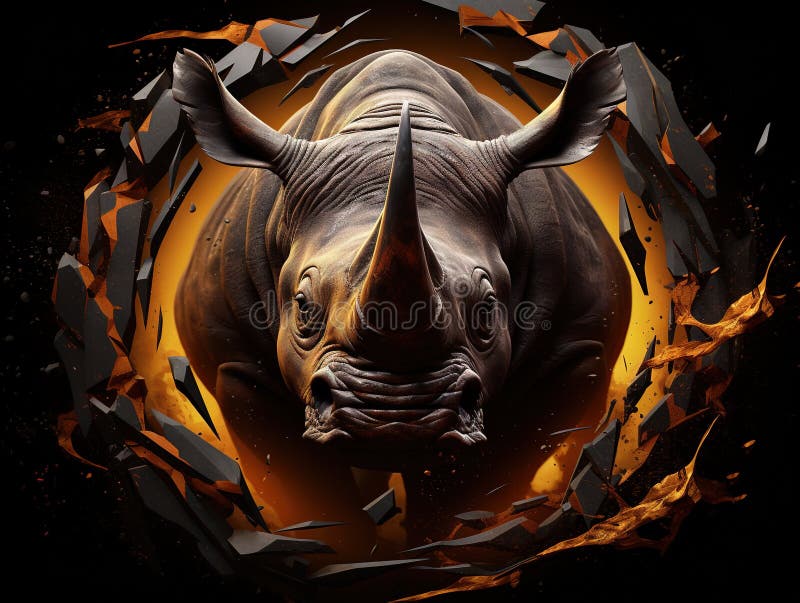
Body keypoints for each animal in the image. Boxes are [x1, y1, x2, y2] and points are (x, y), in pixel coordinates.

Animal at [171, 48, 630, 539]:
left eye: (488, 310)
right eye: (302, 306)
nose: (392, 418)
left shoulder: (570, 352)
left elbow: (470, 486)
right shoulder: (239, 364)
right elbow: (311, 490)